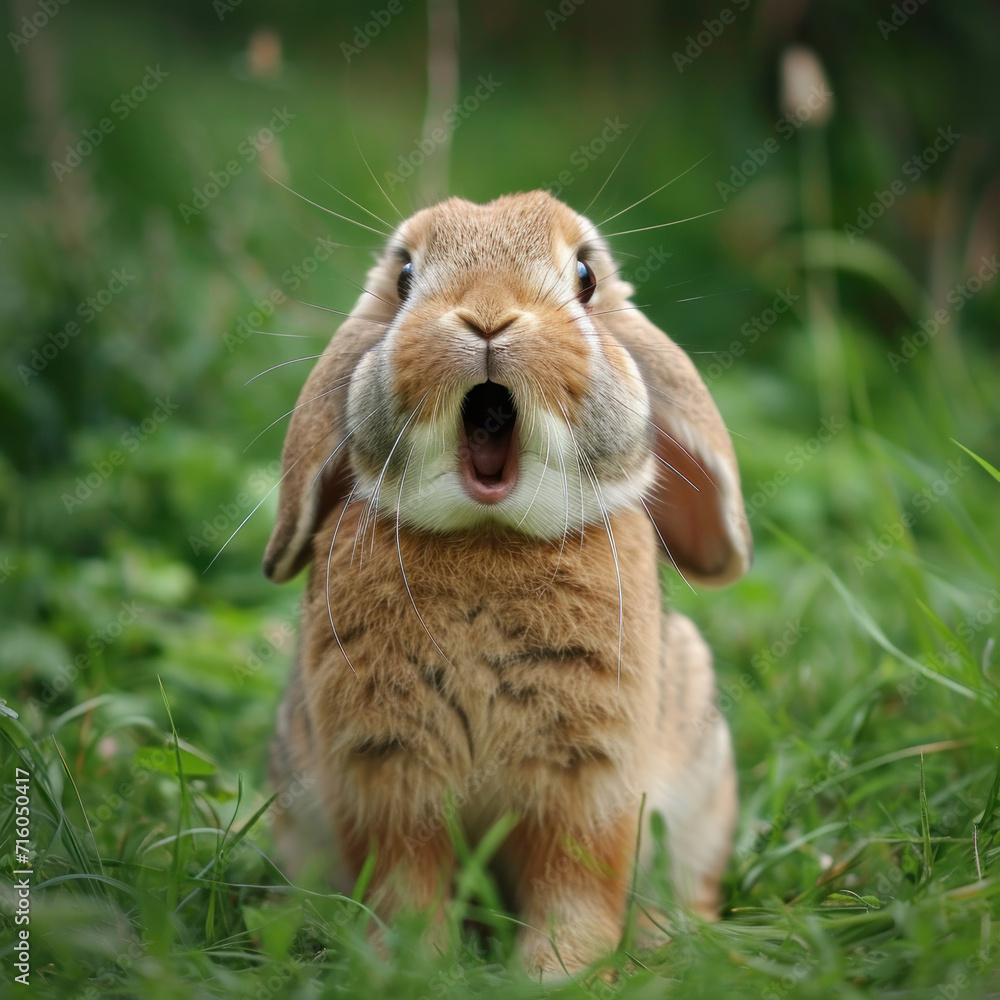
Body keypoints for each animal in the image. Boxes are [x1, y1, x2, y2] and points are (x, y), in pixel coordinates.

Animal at [264, 189, 752, 979]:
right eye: (404, 279)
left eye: (585, 277)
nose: (488, 316)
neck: (488, 532)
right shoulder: (388, 777)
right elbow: (405, 884)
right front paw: (410, 969)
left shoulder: (587, 782)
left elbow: (574, 887)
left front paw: (561, 975)